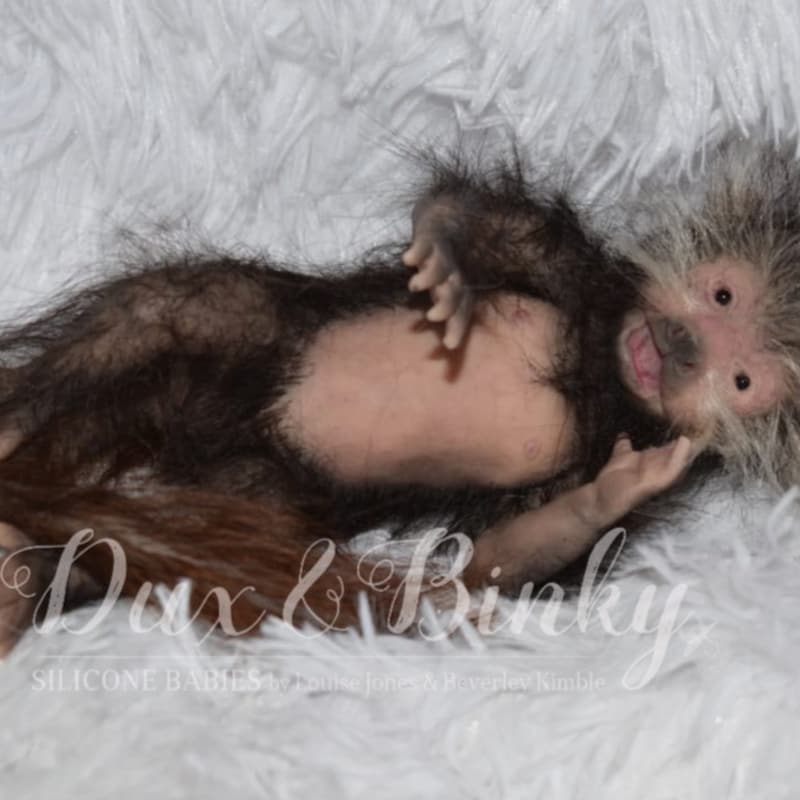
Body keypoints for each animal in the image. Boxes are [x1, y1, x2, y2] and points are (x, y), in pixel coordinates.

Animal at [0, 142, 796, 655]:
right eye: (721, 294)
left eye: (742, 381)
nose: (679, 347)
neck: (606, 375)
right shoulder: (570, 268)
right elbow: (489, 221)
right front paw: (444, 258)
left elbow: (500, 556)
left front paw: (615, 489)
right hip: (237, 333)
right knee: (166, 313)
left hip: (255, 493)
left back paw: (25, 573)